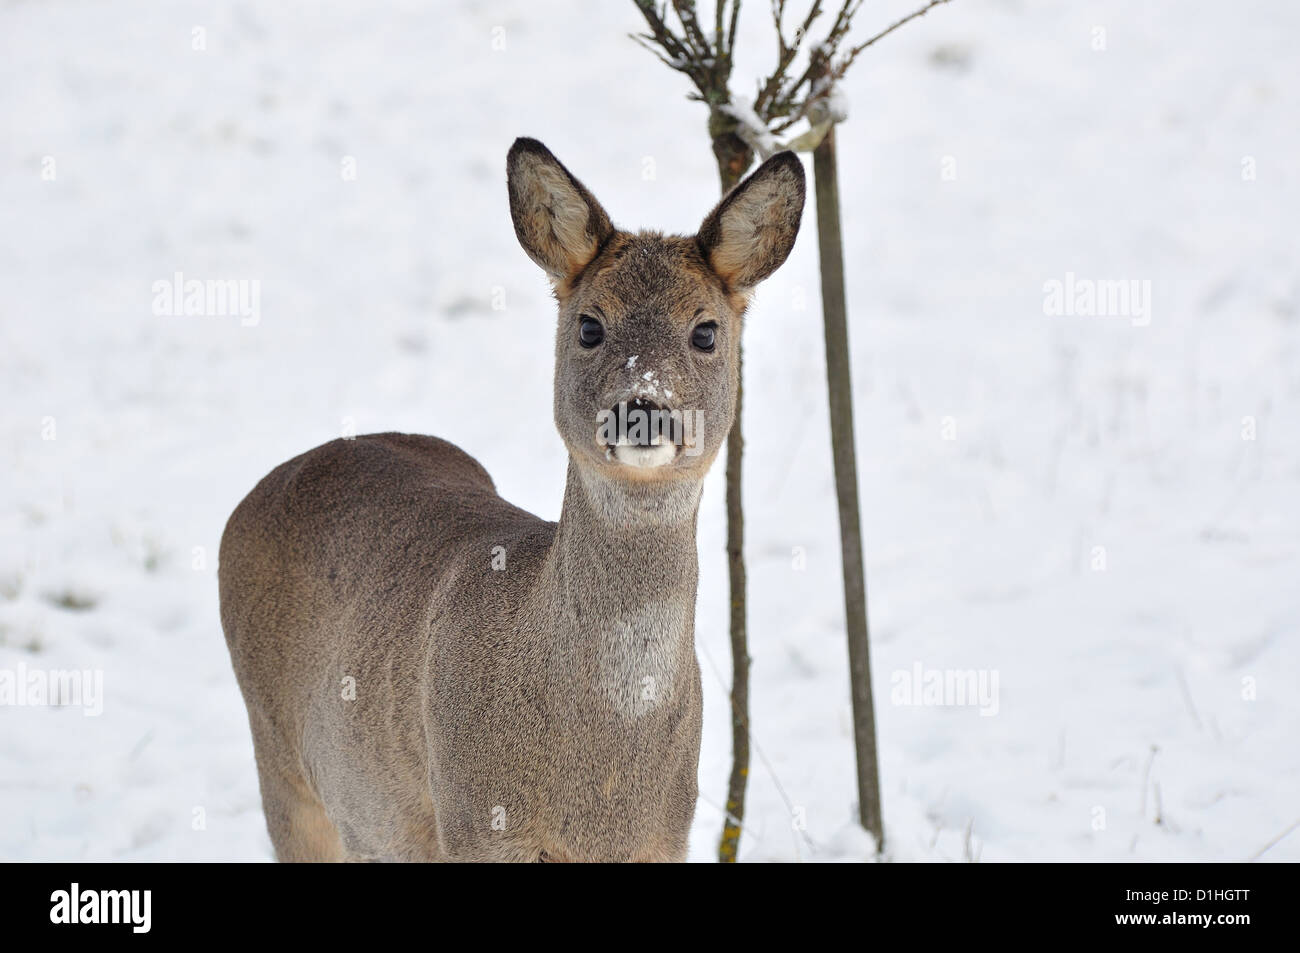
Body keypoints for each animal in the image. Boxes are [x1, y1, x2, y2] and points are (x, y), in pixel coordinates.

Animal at [218, 138, 805, 862]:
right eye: (589, 326)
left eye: (705, 331)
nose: (643, 409)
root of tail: (267, 487)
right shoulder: (475, 816)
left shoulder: (667, 832)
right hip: (282, 763)